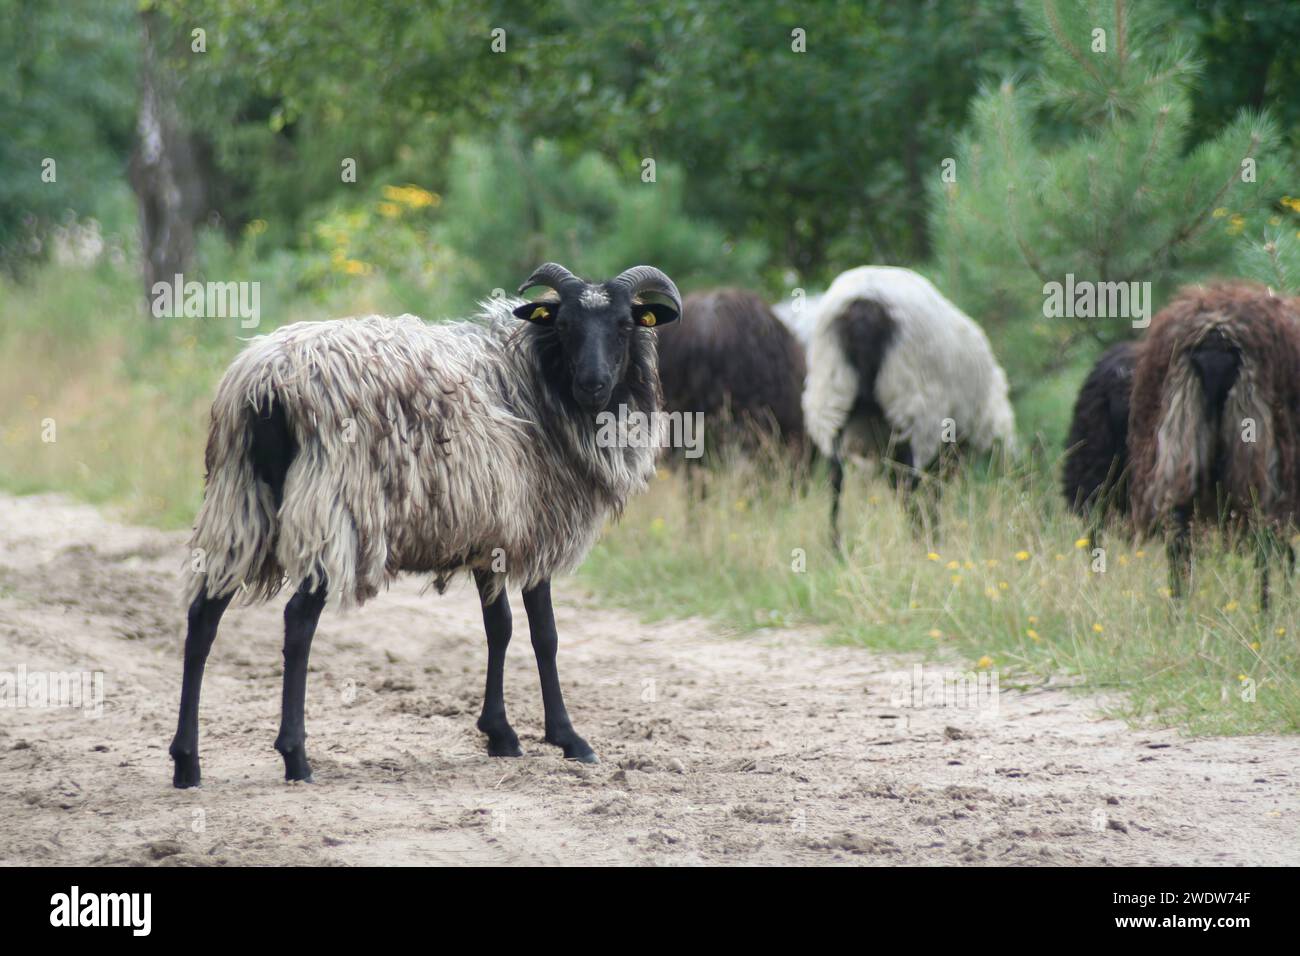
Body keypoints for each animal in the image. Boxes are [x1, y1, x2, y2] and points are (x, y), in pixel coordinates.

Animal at [170, 262, 682, 787]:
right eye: (563, 325)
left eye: (623, 325)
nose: (593, 384)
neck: (532, 377)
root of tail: (268, 384)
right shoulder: (535, 525)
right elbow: (545, 635)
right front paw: (568, 739)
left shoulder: (490, 534)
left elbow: (499, 628)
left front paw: (499, 734)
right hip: (332, 508)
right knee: (297, 622)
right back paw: (295, 757)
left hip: (238, 502)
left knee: (203, 616)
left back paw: (187, 762)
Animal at [801, 266, 1017, 548]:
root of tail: (866, 305)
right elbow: (930, 492)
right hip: (914, 408)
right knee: (908, 486)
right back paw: (920, 543)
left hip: (831, 397)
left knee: (836, 484)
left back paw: (837, 547)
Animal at [1127, 281, 1300, 609]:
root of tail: (1215, 336)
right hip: (1257, 457)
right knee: (1263, 545)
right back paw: (1265, 614)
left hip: (1178, 446)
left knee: (1179, 542)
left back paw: (1178, 615)